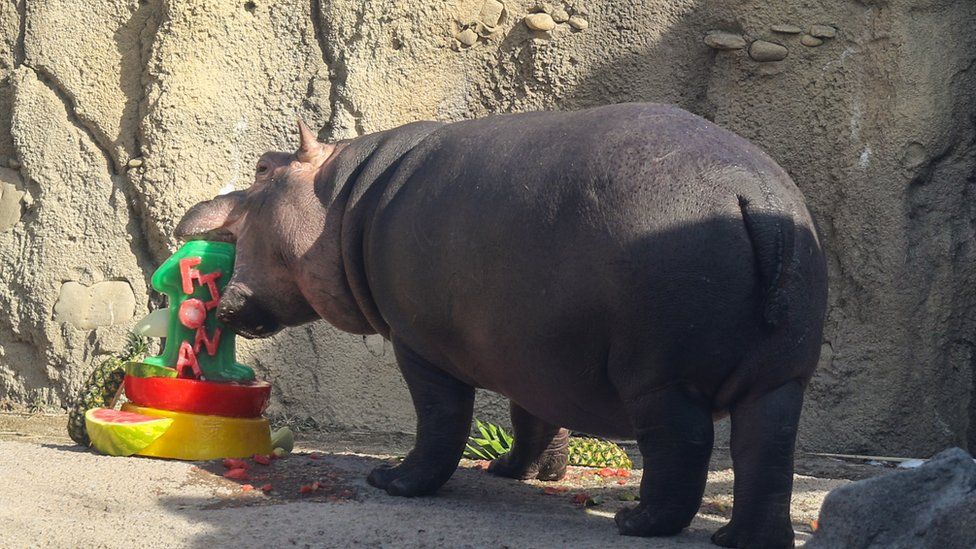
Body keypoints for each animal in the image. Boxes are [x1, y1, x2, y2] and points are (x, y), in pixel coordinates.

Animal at [176, 103, 827, 548]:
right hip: (779, 381)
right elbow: (533, 417)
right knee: (767, 452)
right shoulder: (533, 353)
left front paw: (395, 481)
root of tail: (755, 196)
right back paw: (741, 540)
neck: (339, 201)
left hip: (660, 379)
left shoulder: (419, 345)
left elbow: (441, 421)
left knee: (683, 447)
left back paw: (636, 522)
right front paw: (516, 473)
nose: (190, 214)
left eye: (262, 168)